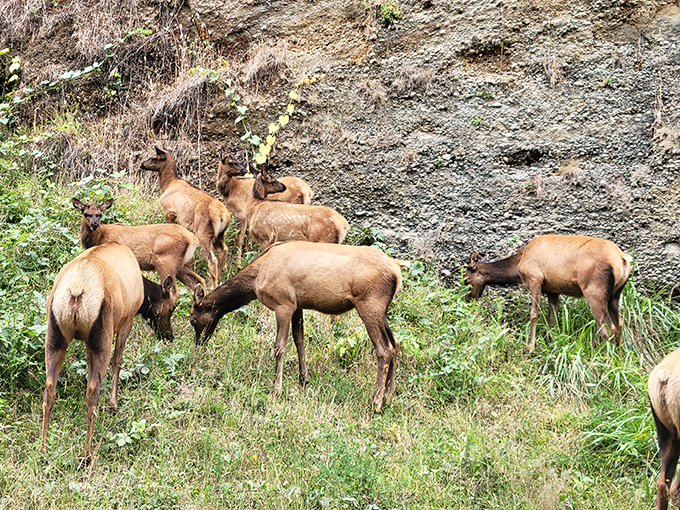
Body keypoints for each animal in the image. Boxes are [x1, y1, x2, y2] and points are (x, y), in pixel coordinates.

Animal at [40, 242, 175, 463]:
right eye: (172, 307)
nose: (168, 336)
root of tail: (76, 290)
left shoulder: (87, 342)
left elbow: (88, 366)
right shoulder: (127, 319)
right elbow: (118, 360)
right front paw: (113, 403)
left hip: (54, 335)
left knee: (49, 388)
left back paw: (43, 448)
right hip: (102, 334)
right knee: (92, 391)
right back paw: (88, 453)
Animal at [72, 197, 205, 300]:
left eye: (99, 214)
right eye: (86, 214)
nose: (95, 224)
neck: (99, 238)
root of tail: (192, 238)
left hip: (166, 261)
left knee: (174, 291)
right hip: (182, 265)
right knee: (199, 282)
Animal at [140, 146, 230, 290]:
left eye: (154, 158)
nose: (142, 164)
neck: (167, 184)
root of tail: (223, 216)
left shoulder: (170, 211)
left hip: (203, 232)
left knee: (213, 259)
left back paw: (212, 285)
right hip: (219, 234)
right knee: (223, 251)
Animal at [190, 241, 405, 413]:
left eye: (192, 319)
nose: (198, 344)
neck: (256, 278)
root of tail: (397, 271)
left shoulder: (283, 303)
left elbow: (280, 346)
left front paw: (277, 388)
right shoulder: (298, 305)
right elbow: (299, 339)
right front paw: (303, 380)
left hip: (369, 303)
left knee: (384, 348)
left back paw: (376, 403)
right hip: (381, 311)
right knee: (395, 343)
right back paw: (388, 397)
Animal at [464, 234, 632, 351]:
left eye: (466, 279)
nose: (468, 300)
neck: (518, 267)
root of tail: (623, 259)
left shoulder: (535, 278)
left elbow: (534, 314)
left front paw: (530, 348)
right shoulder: (553, 290)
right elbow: (553, 320)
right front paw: (554, 346)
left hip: (594, 290)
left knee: (608, 329)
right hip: (615, 294)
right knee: (620, 325)